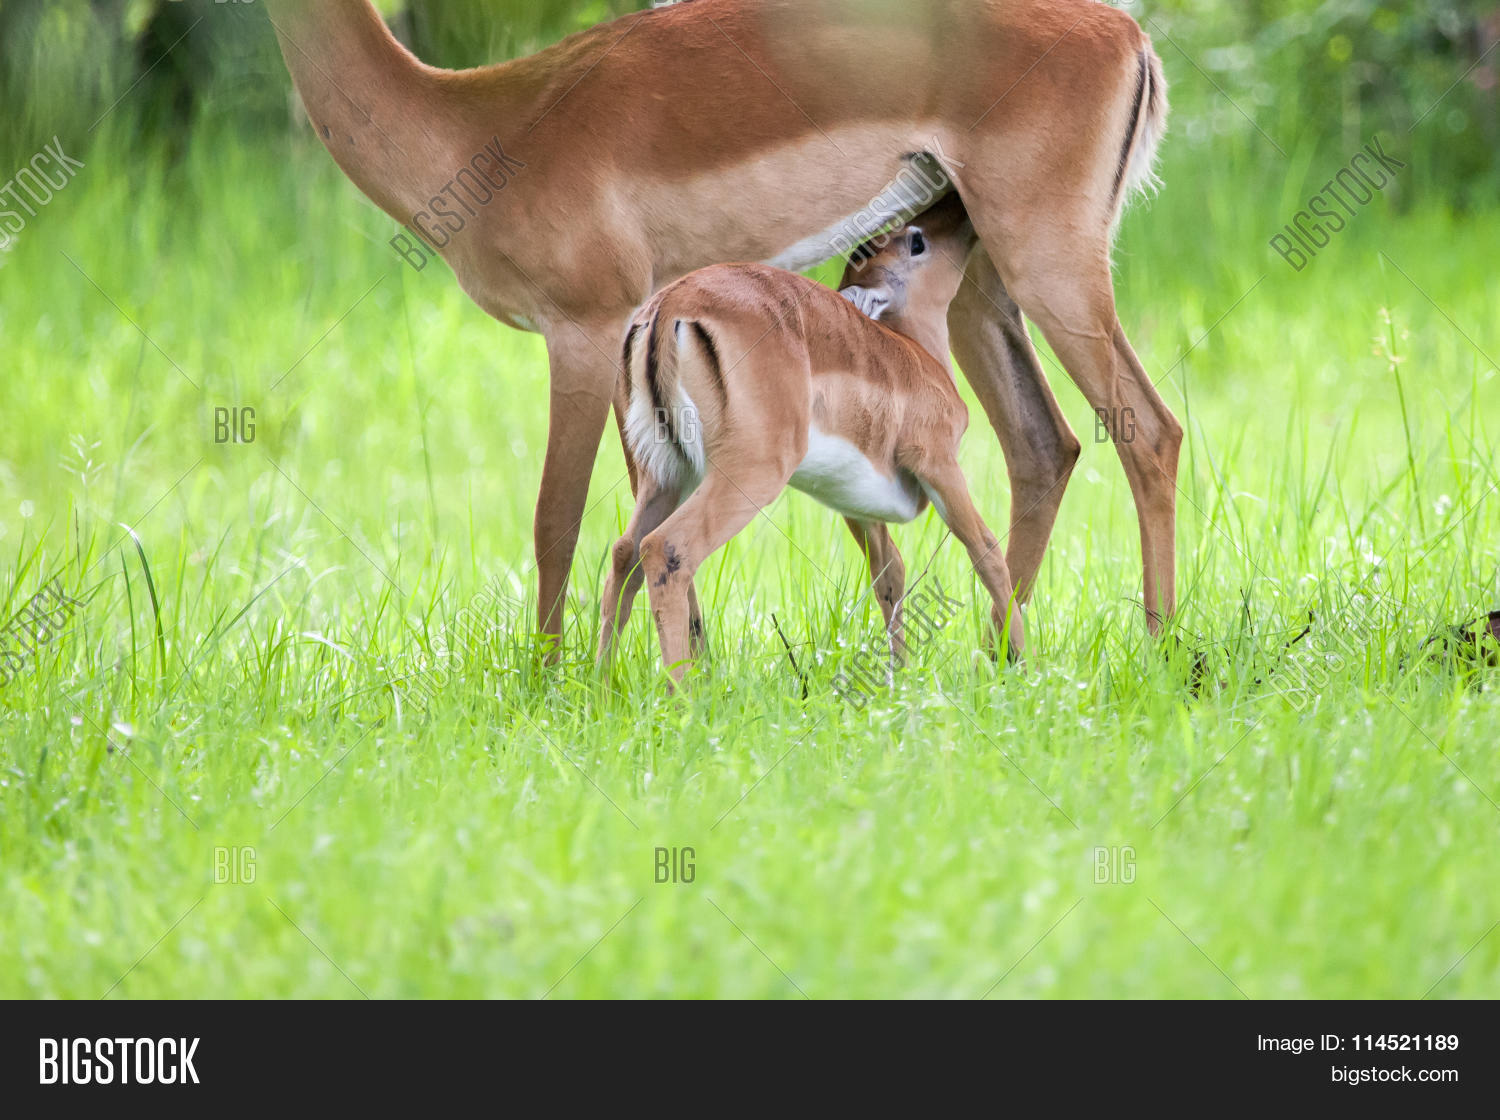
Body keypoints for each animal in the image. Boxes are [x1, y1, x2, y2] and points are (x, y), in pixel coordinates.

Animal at [598, 195, 1021, 683]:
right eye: (916, 241)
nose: (959, 206)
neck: (914, 354)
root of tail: (670, 304)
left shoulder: (858, 506)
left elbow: (889, 575)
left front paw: (898, 678)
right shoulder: (939, 465)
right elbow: (989, 554)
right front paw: (1022, 664)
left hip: (666, 477)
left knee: (624, 555)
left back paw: (603, 684)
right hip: (750, 475)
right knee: (665, 549)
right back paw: (681, 691)